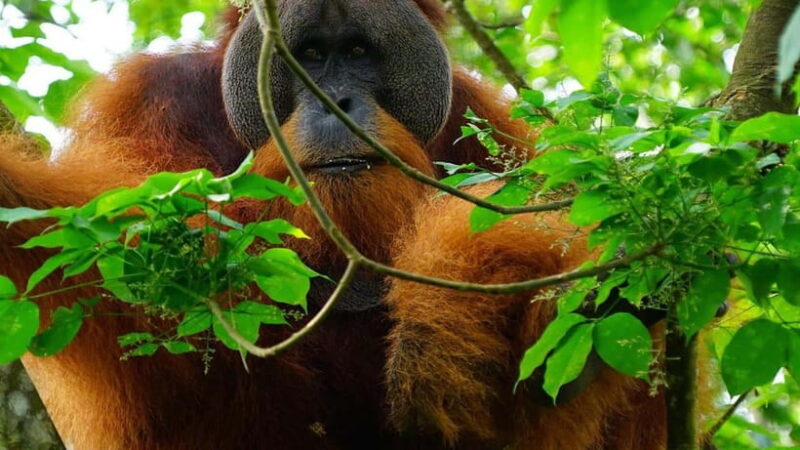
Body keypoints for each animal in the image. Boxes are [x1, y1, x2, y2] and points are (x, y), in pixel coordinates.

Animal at [0, 1, 666, 448]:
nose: (337, 102)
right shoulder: (150, 105)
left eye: (359, 52)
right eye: (312, 55)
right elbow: (152, 309)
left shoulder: (487, 129)